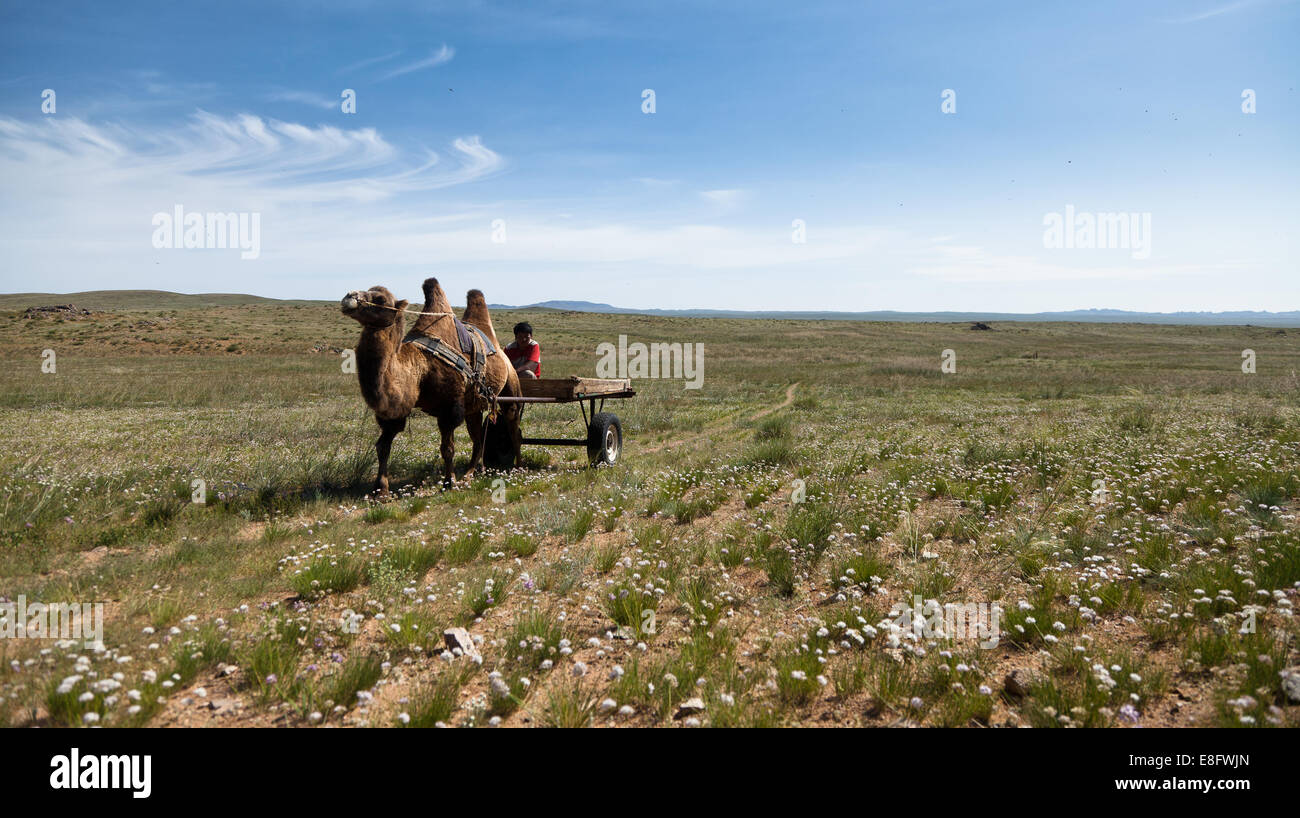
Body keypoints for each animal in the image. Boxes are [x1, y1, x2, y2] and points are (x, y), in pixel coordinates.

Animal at [340, 278, 522, 495]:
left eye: (381, 299)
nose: (349, 296)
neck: (421, 370)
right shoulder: (398, 407)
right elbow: (383, 446)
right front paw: (380, 490)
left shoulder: (450, 407)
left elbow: (447, 448)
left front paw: (449, 482)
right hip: (474, 405)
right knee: (478, 438)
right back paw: (471, 473)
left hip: (510, 384)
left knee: (513, 425)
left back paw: (518, 466)